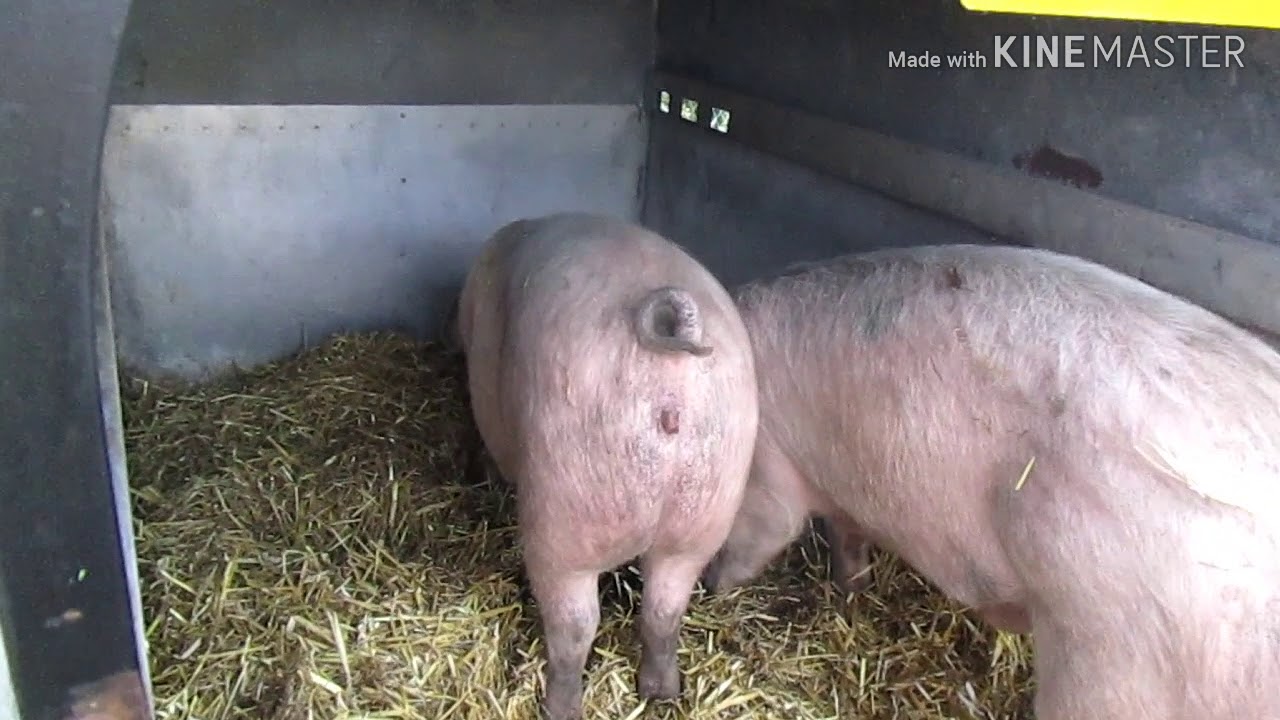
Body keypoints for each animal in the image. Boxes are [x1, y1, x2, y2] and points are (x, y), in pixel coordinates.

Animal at [453, 212, 759, 720]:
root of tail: (668, 330)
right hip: (705, 512)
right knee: (664, 611)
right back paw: (661, 691)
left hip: (569, 512)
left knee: (575, 625)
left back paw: (560, 707)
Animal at [700, 243, 1280, 720]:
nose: (702, 587)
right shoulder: (843, 494)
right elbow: (847, 540)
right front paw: (850, 592)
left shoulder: (766, 468)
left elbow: (763, 532)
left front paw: (714, 590)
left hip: (1116, 654)